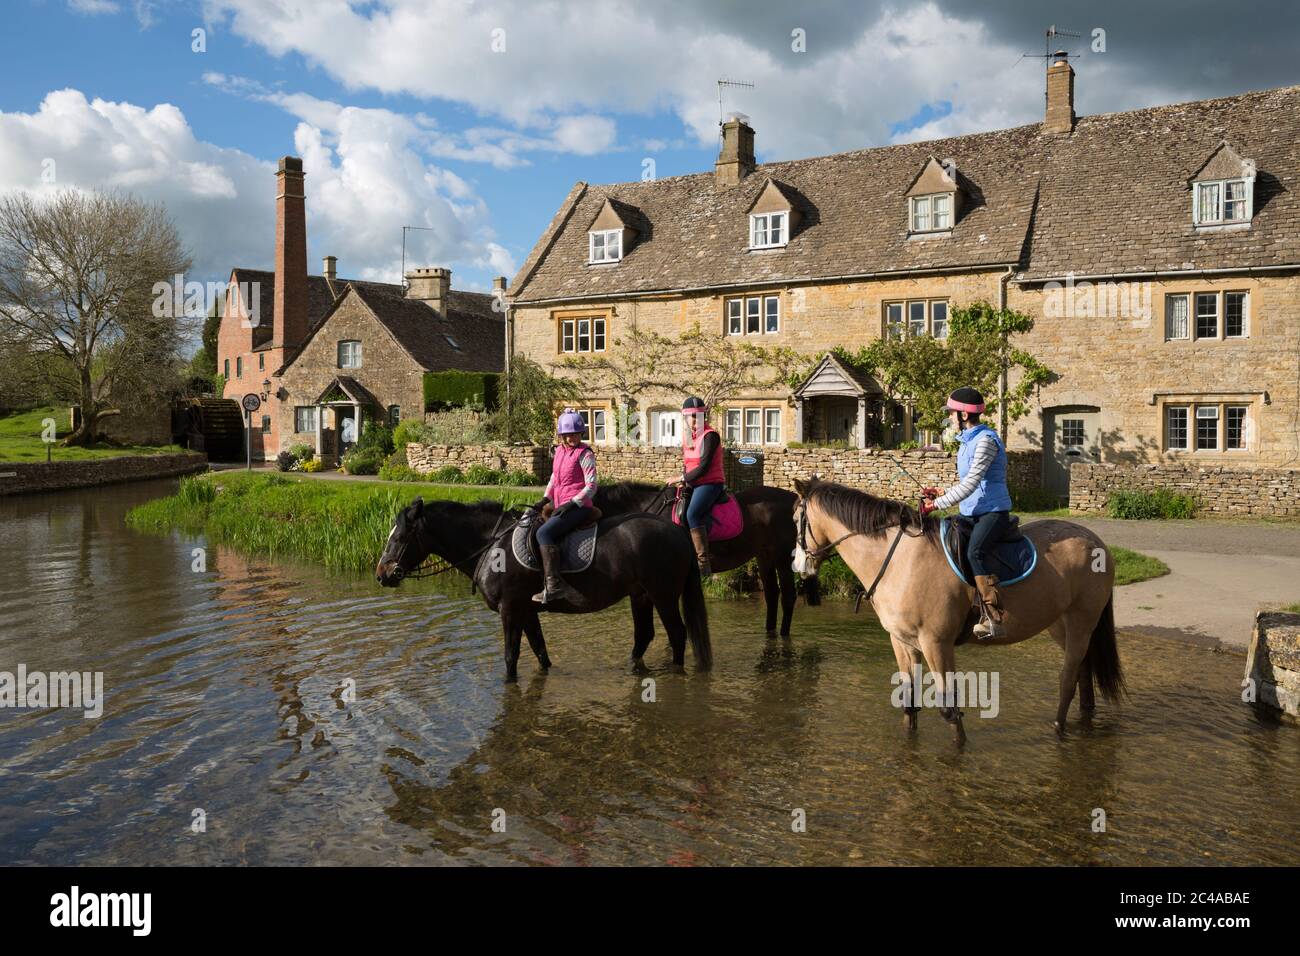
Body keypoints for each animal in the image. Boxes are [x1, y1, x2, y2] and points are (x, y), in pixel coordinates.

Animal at [375, 497, 712, 681]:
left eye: (400, 537)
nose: (382, 574)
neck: (491, 546)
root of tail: (677, 531)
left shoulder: (510, 610)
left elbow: (511, 657)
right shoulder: (527, 610)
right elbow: (540, 652)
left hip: (663, 595)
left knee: (677, 634)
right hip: (639, 595)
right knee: (644, 635)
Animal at [791, 477, 1123, 743]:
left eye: (795, 518)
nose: (798, 565)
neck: (899, 561)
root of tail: (1097, 542)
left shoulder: (937, 644)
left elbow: (949, 709)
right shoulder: (902, 642)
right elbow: (910, 705)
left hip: (1081, 621)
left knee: (1068, 678)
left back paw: (1057, 727)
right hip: (1060, 624)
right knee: (1082, 672)